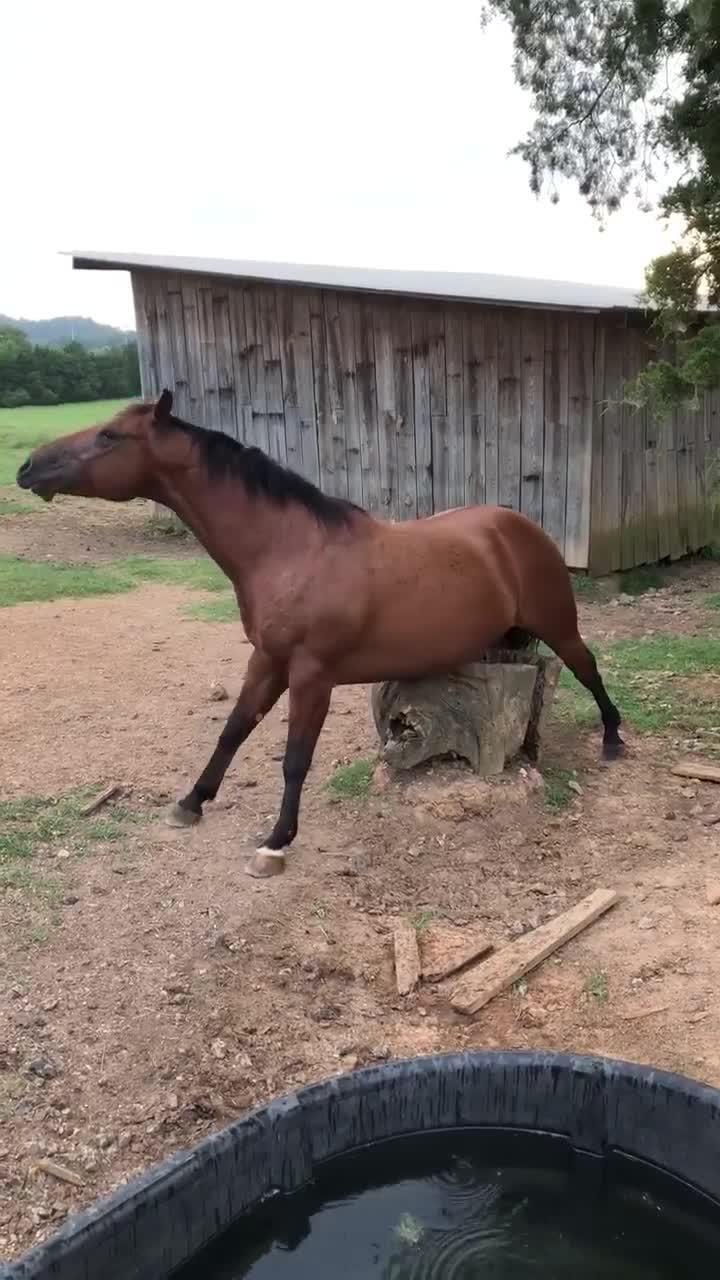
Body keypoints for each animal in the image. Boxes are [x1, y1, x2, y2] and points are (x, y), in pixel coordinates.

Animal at [17, 390, 623, 878]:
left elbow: (293, 758)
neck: (291, 551)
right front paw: (192, 801)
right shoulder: (266, 661)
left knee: (588, 667)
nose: (27, 466)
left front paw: (275, 843)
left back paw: (614, 738)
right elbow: (233, 731)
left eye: (109, 436)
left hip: (558, 625)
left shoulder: (312, 675)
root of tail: (518, 526)